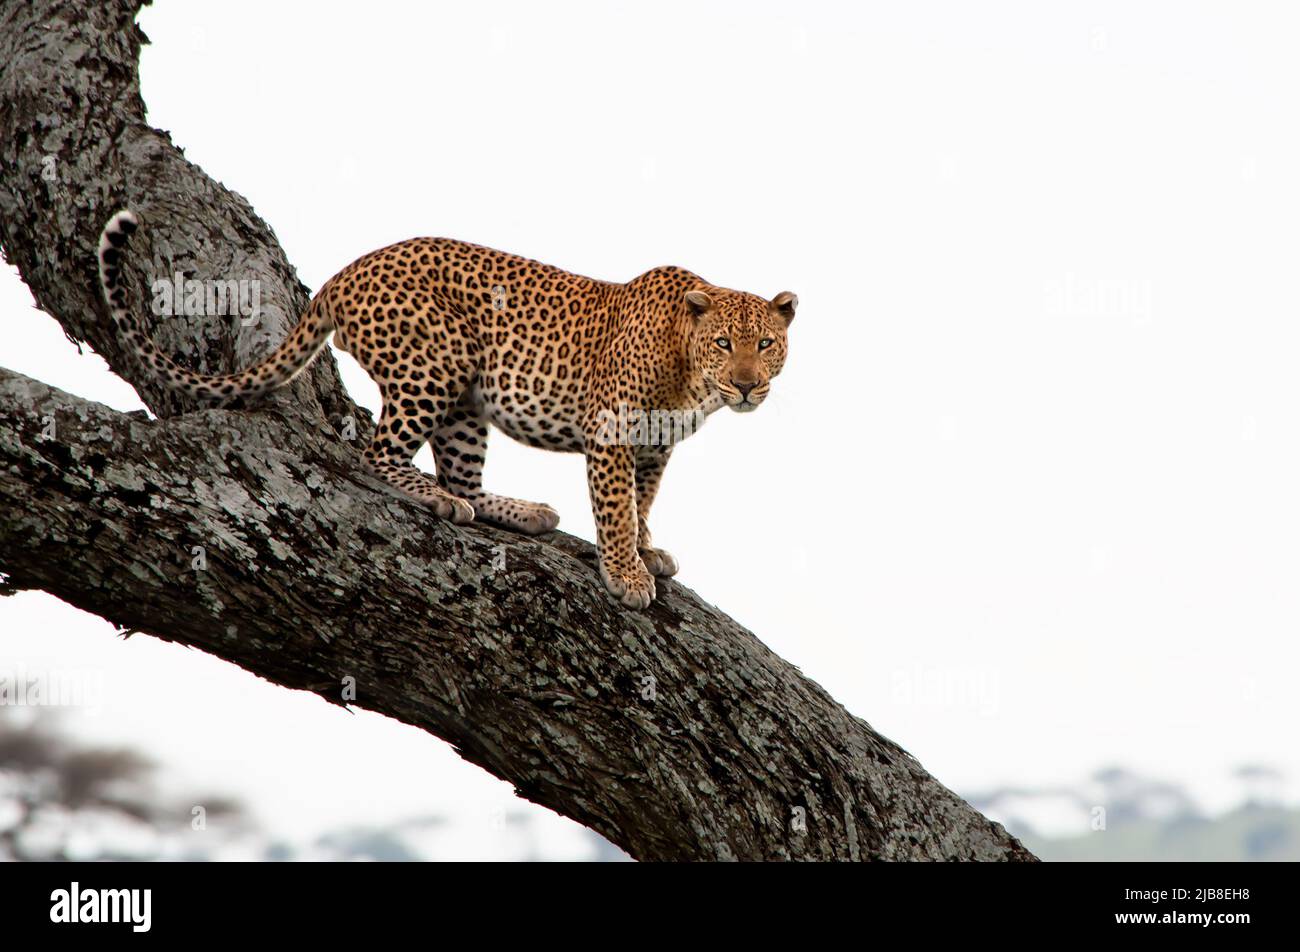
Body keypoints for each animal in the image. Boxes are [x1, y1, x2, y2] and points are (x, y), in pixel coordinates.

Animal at [97, 210, 797, 608]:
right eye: (724, 343)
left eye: (765, 344)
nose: (745, 386)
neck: (691, 376)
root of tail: (344, 273)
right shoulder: (612, 434)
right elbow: (616, 509)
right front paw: (625, 574)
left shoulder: (655, 445)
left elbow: (641, 504)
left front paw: (648, 552)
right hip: (435, 363)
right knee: (379, 455)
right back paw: (431, 496)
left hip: (467, 403)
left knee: (462, 475)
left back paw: (521, 510)